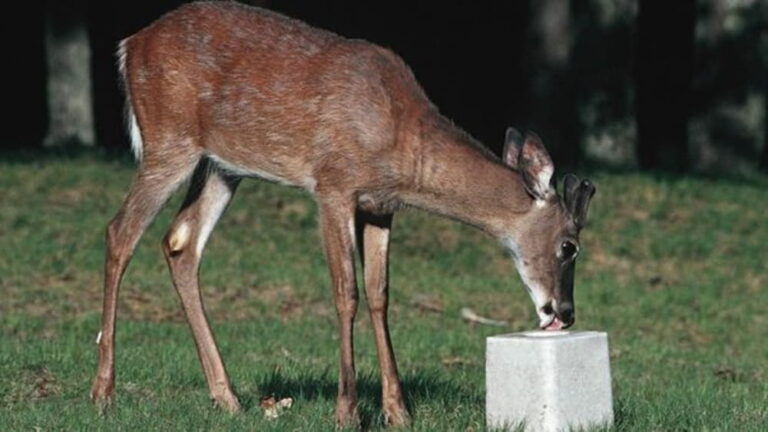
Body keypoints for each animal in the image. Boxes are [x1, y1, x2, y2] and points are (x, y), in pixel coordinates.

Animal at [90, 1, 596, 428]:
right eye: (569, 245)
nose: (565, 312)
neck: (400, 145)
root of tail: (129, 45)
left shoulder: (380, 206)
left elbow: (379, 294)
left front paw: (398, 411)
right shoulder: (333, 185)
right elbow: (345, 292)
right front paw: (348, 411)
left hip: (222, 166)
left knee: (181, 242)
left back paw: (227, 397)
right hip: (168, 139)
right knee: (119, 232)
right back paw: (103, 392)